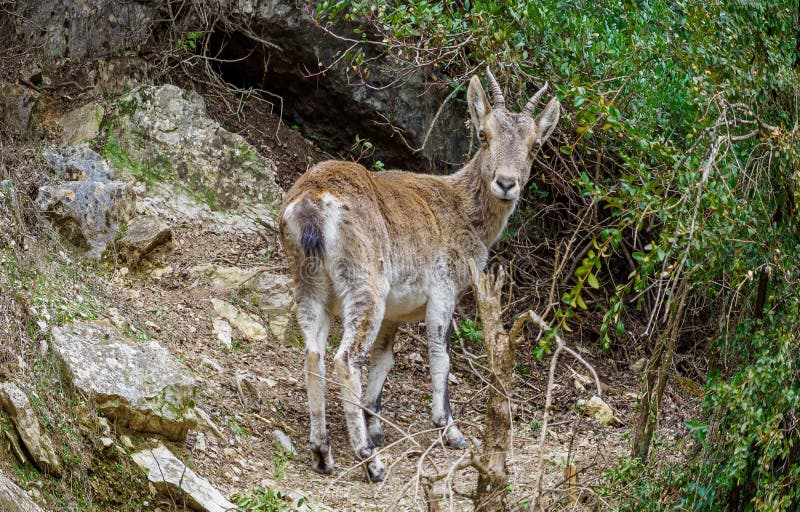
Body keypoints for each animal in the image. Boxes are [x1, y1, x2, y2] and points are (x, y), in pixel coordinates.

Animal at [279, 69, 560, 482]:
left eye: (535, 144)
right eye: (483, 134)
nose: (506, 183)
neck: (462, 211)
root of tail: (312, 205)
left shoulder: (394, 312)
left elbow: (384, 360)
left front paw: (376, 423)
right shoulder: (443, 290)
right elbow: (440, 354)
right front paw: (450, 430)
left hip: (309, 284)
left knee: (314, 354)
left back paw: (323, 452)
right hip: (365, 284)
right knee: (346, 359)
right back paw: (370, 461)